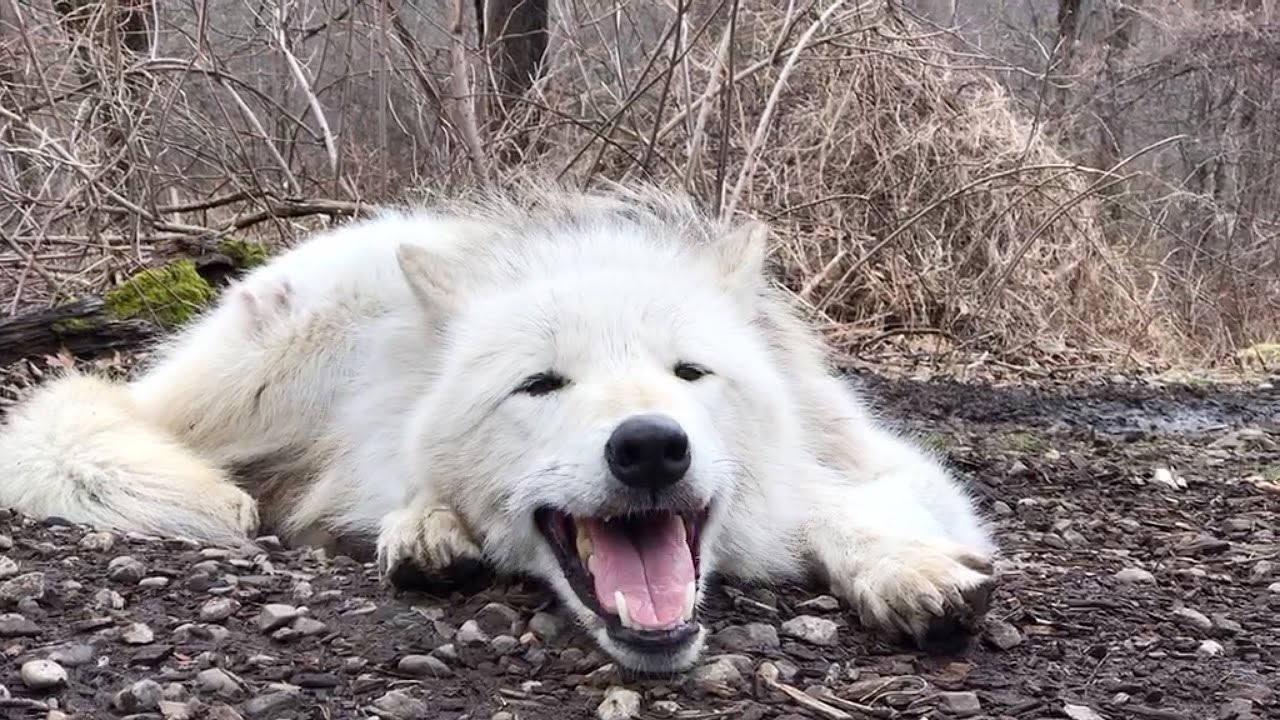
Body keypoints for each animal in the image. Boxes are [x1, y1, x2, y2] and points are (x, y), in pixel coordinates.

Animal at [0, 181, 996, 673]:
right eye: (540, 384)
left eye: (690, 375)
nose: (650, 447)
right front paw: (426, 523)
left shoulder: (879, 462)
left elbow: (836, 506)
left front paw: (910, 572)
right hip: (272, 359)